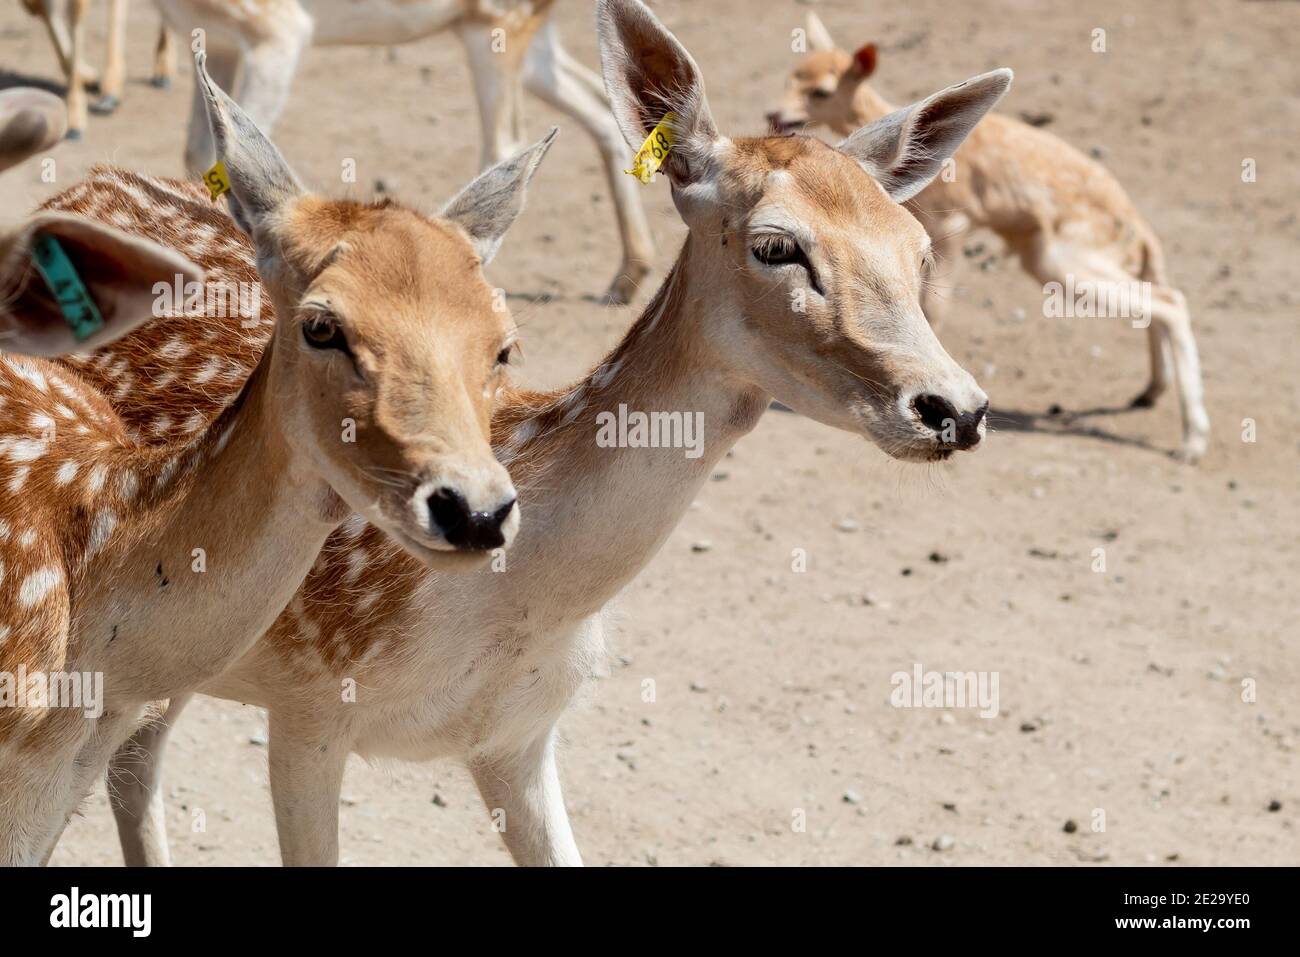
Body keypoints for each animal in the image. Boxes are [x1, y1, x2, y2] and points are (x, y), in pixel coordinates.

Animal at [96, 0, 1010, 868]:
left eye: (921, 249)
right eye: (777, 245)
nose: (955, 407)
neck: (513, 607)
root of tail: (100, 178)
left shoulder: (521, 734)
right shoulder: (308, 703)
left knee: (132, 761)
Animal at [766, 11, 1209, 463]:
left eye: (821, 91)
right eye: (791, 75)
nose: (775, 114)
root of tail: (1139, 228)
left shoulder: (952, 225)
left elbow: (933, 304)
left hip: (1055, 260)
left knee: (1172, 302)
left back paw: (1192, 441)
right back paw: (1150, 393)